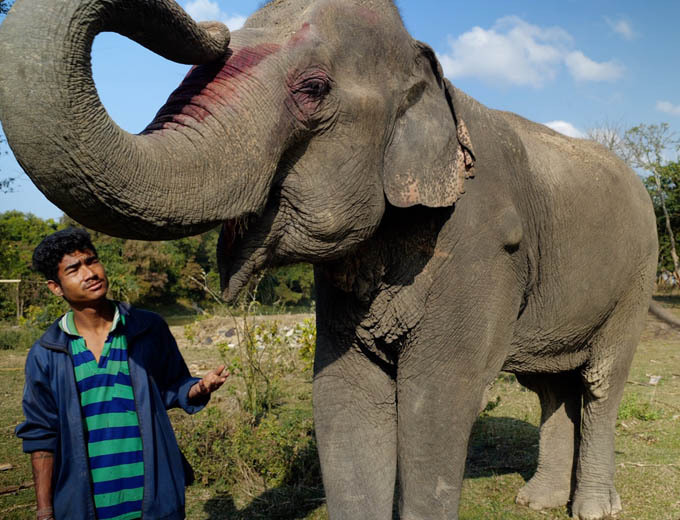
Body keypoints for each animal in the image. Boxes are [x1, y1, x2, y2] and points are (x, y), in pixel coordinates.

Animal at [0, 0, 658, 519]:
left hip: (639, 276)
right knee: (548, 386)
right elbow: (342, 397)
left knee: (600, 382)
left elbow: (436, 400)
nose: (211, 26)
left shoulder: (481, 244)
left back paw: (594, 509)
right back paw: (538, 502)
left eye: (313, 89)